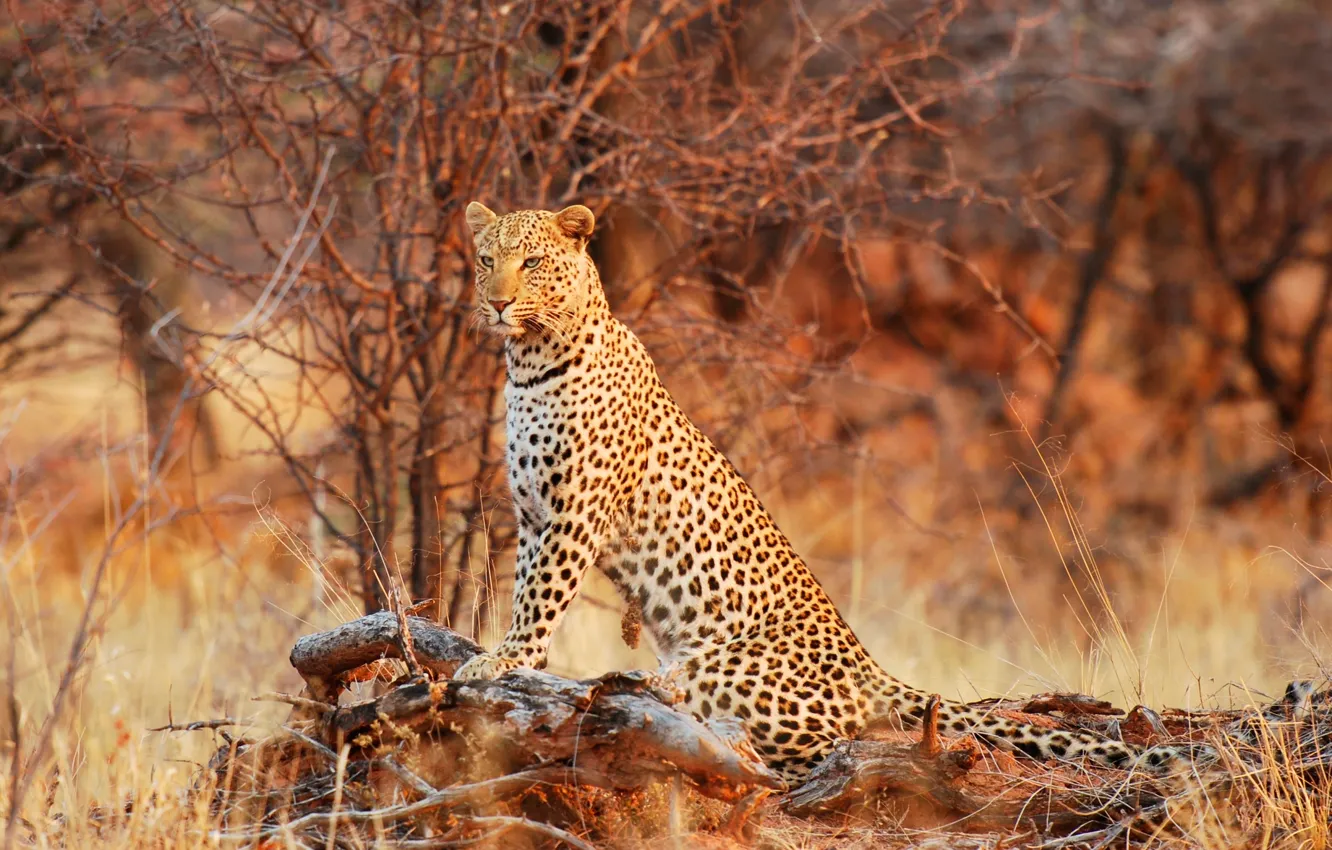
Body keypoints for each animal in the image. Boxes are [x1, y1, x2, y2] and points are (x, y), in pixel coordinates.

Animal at [451, 201, 1193, 784]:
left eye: (533, 264)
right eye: (486, 259)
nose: (496, 303)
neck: (530, 363)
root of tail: (869, 668)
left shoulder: (572, 515)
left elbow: (539, 601)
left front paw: (503, 660)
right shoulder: (532, 516)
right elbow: (524, 587)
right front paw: (503, 654)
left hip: (728, 672)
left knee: (810, 742)